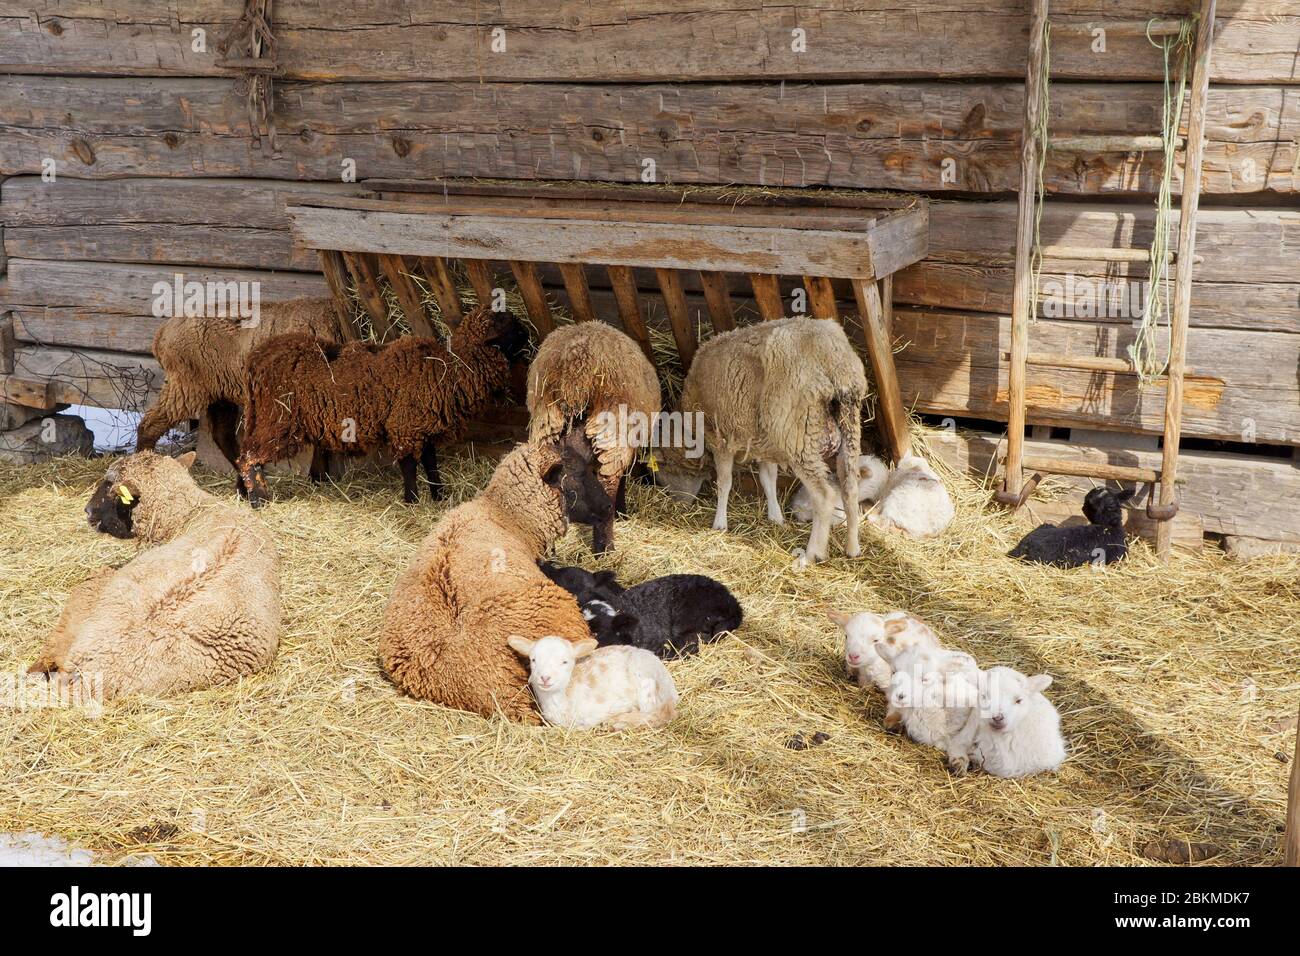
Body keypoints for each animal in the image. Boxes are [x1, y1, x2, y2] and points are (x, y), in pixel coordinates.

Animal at [237, 306, 528, 506]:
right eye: (511, 328)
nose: (528, 335)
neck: (449, 366)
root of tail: (256, 358)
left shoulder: (423, 426)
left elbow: (431, 464)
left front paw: (439, 496)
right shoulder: (405, 426)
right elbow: (409, 466)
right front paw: (412, 501)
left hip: (260, 416)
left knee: (243, 452)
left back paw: (243, 494)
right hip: (277, 417)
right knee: (250, 458)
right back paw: (258, 501)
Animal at [662, 316, 868, 565]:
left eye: (667, 466)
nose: (677, 503)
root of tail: (830, 357)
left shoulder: (721, 438)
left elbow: (724, 482)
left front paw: (719, 524)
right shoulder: (766, 444)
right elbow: (768, 479)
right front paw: (775, 517)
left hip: (797, 435)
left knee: (824, 496)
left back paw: (812, 554)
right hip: (849, 424)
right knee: (850, 486)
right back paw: (853, 547)